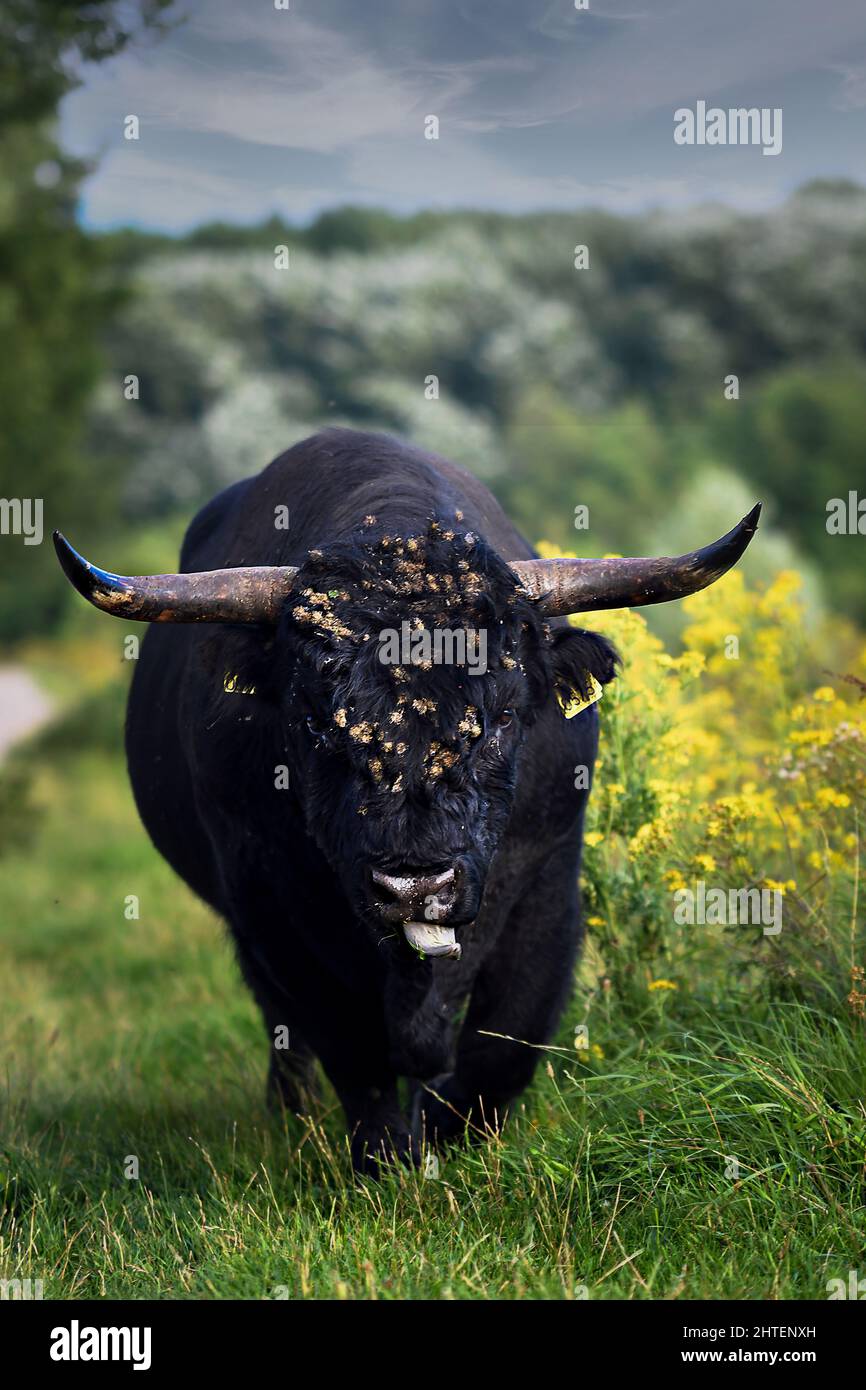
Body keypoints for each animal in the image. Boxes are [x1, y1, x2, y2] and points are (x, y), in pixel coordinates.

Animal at [55, 428, 759, 1172]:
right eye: (316, 719)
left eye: (502, 718)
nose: (415, 883)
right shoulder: (267, 901)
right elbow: (349, 1046)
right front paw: (384, 1159)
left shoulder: (547, 880)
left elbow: (503, 1038)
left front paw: (454, 1139)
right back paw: (291, 1114)